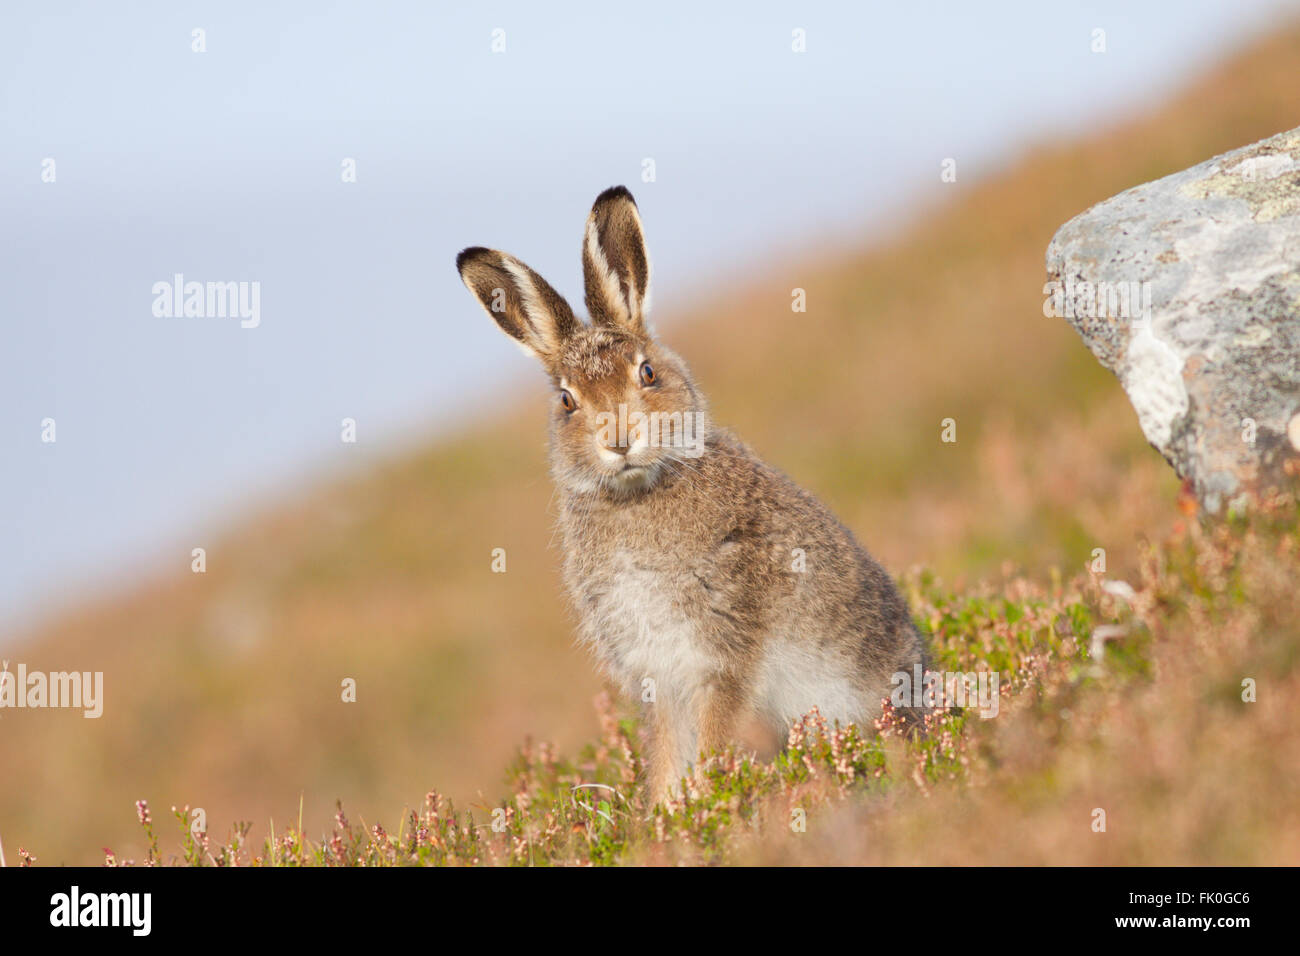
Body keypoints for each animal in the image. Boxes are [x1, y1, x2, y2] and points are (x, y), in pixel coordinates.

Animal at [456, 186, 927, 804]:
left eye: (647, 373)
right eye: (566, 401)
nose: (619, 439)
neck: (638, 493)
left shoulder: (722, 655)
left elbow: (714, 737)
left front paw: (705, 801)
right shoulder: (659, 675)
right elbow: (666, 753)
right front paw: (665, 814)